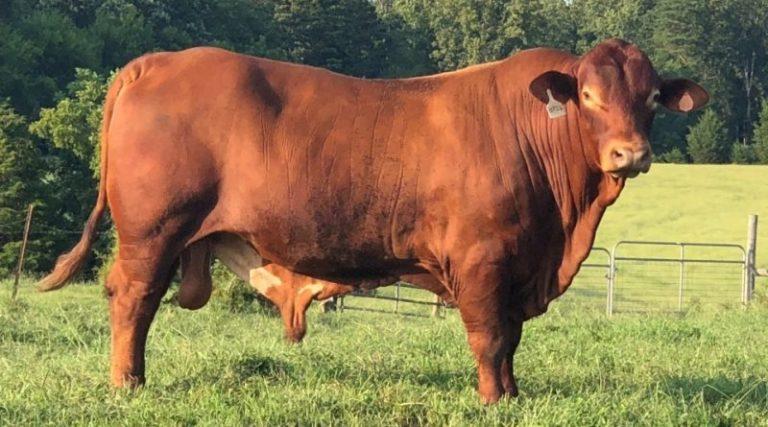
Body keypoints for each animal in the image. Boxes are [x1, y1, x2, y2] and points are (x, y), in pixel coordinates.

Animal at [39, 38, 708, 404]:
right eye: (589, 98)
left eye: (651, 98)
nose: (629, 154)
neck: (562, 229)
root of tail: (158, 62)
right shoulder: (482, 259)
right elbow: (491, 338)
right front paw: (493, 400)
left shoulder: (518, 263)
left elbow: (512, 339)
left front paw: (515, 395)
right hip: (152, 232)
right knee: (133, 298)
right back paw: (127, 382)